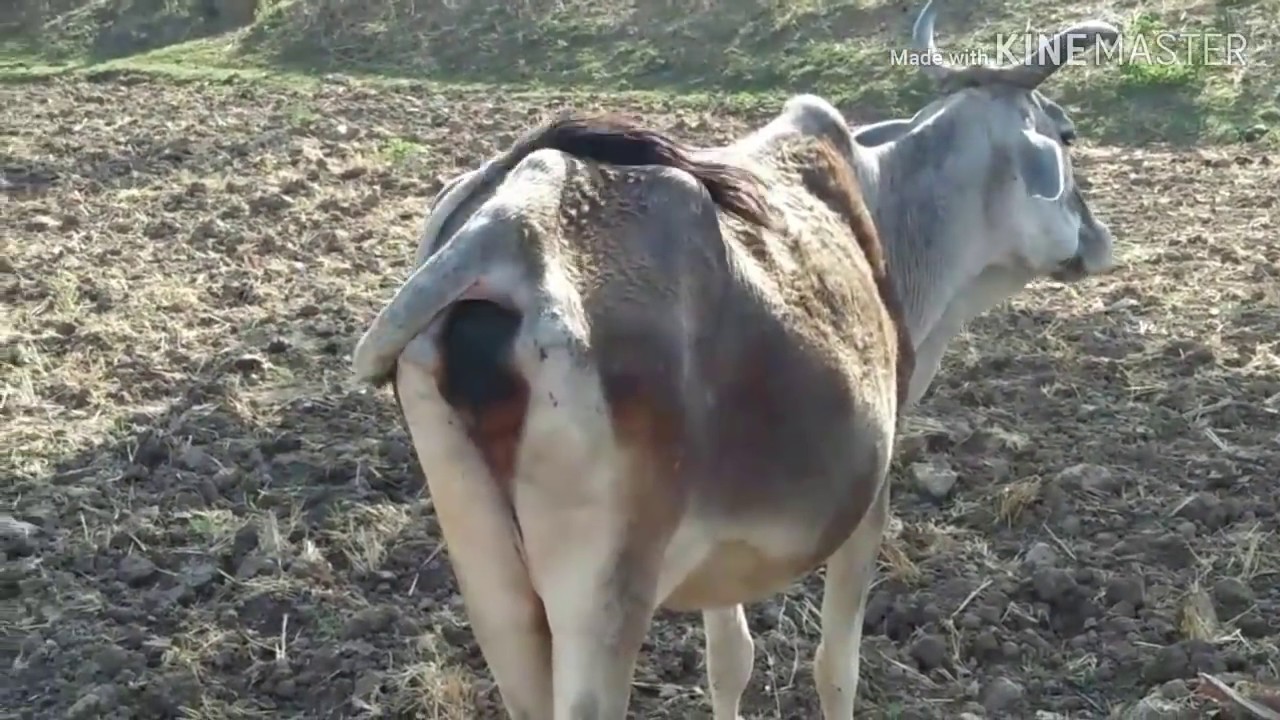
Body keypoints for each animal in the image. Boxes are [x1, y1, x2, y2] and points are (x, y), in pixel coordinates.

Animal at [349, 4, 1121, 718]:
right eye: (1066, 134)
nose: (1099, 239)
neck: (882, 211)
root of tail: (507, 228)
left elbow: (731, 661)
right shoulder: (867, 503)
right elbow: (835, 667)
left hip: (495, 589)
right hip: (600, 601)